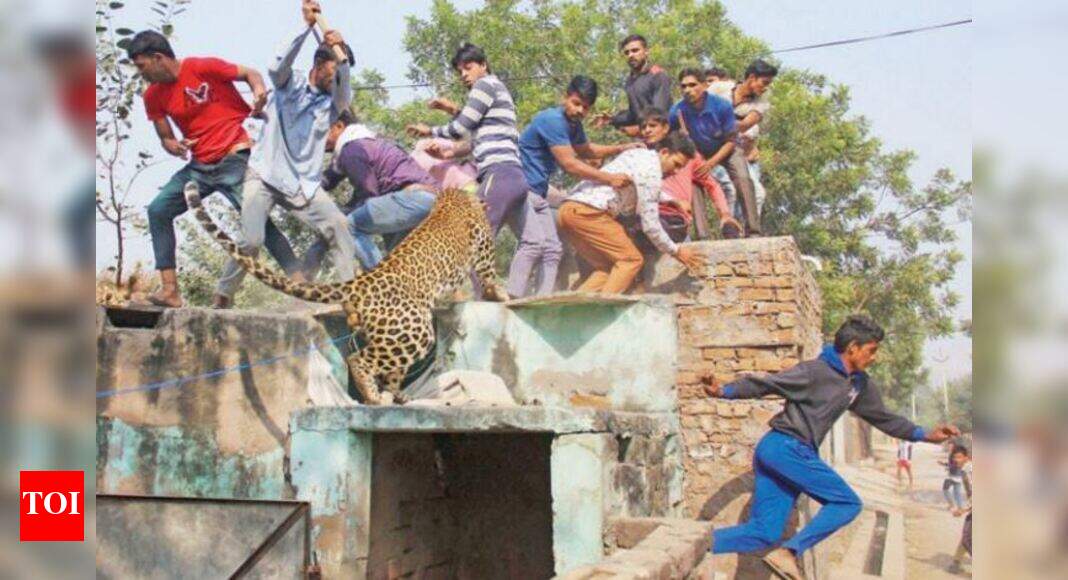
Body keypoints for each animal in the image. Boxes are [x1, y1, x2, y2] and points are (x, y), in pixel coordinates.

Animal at [184, 181, 509, 405]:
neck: (451, 196)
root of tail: (361, 282)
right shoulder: (483, 248)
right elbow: (489, 273)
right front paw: (501, 295)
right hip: (416, 331)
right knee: (359, 360)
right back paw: (374, 396)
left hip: (394, 332)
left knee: (389, 369)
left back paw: (397, 397)